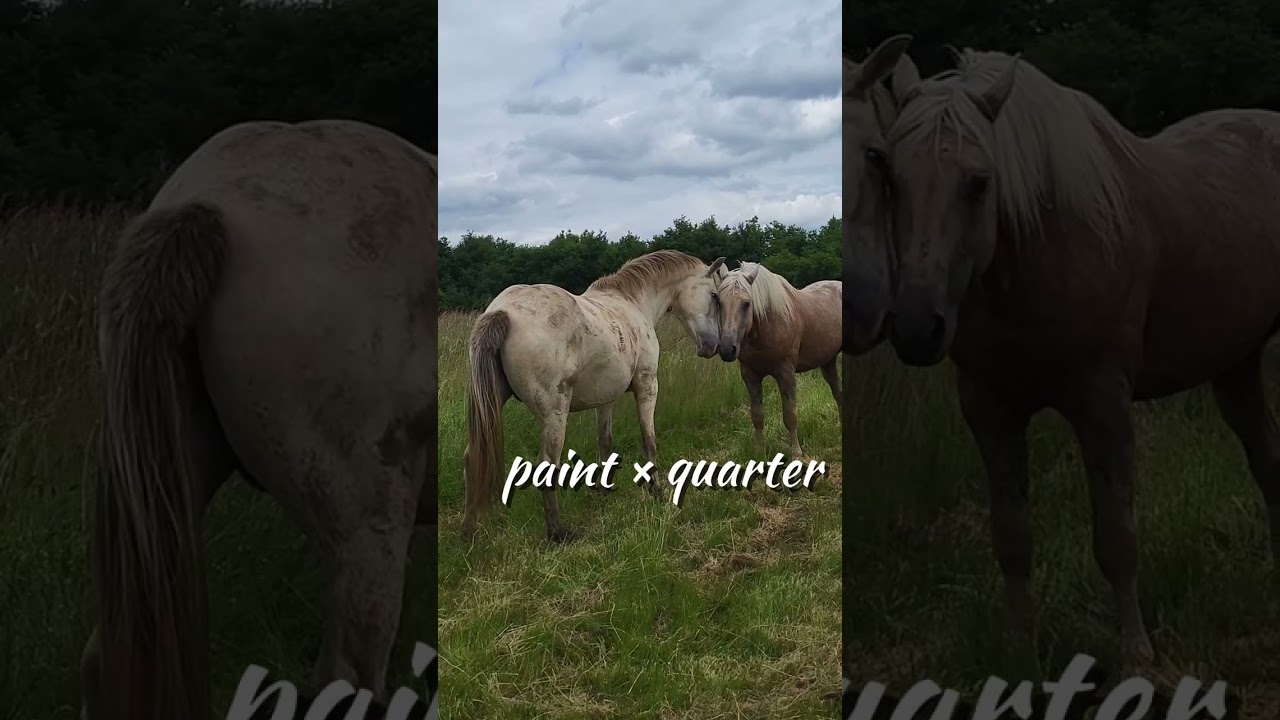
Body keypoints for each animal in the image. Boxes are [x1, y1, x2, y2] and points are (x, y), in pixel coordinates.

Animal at [462, 250, 726, 542]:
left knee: (472, 456)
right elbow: (649, 441)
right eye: (714, 296)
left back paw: (470, 529)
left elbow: (605, 442)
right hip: (555, 413)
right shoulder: (647, 386)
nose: (712, 346)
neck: (632, 302)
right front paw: (656, 492)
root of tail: (503, 311)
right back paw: (558, 532)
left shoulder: (605, 399)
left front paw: (604, 490)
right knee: (546, 464)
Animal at [716, 262, 842, 458]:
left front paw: (797, 453)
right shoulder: (750, 374)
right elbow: (757, 415)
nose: (727, 349)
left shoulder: (786, 373)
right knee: (838, 392)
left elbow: (790, 415)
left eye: (746, 303)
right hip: (828, 362)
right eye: (718, 302)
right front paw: (759, 450)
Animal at [885, 47, 1280, 669]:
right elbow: (1011, 536)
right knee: (1267, 458)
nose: (917, 328)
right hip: (1236, 363)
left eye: (979, 182)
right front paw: (1019, 647)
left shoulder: (1103, 403)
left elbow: (1116, 537)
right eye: (891, 179)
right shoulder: (989, 407)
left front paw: (1137, 655)